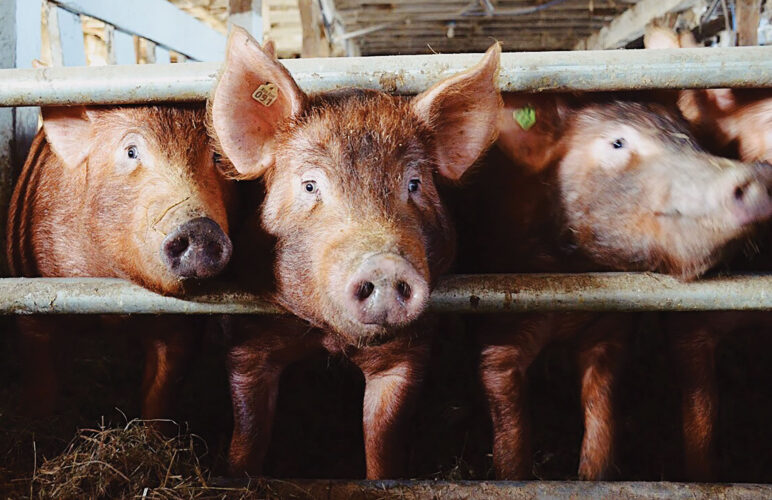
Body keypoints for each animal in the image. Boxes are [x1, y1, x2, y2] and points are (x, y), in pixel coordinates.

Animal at [6, 104, 235, 419]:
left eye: (216, 156)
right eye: (131, 151)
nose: (201, 228)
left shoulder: (185, 326)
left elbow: (160, 391)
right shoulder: (30, 296)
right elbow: (41, 381)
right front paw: (37, 420)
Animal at [208, 27, 501, 478]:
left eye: (414, 183)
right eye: (310, 185)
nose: (384, 265)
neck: (329, 339)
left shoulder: (407, 352)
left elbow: (382, 440)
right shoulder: (245, 341)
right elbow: (249, 432)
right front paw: (238, 474)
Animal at [453, 92, 772, 480]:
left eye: (694, 141)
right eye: (618, 143)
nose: (757, 174)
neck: (570, 277)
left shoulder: (609, 329)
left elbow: (601, 423)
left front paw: (592, 478)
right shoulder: (498, 323)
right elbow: (511, 437)